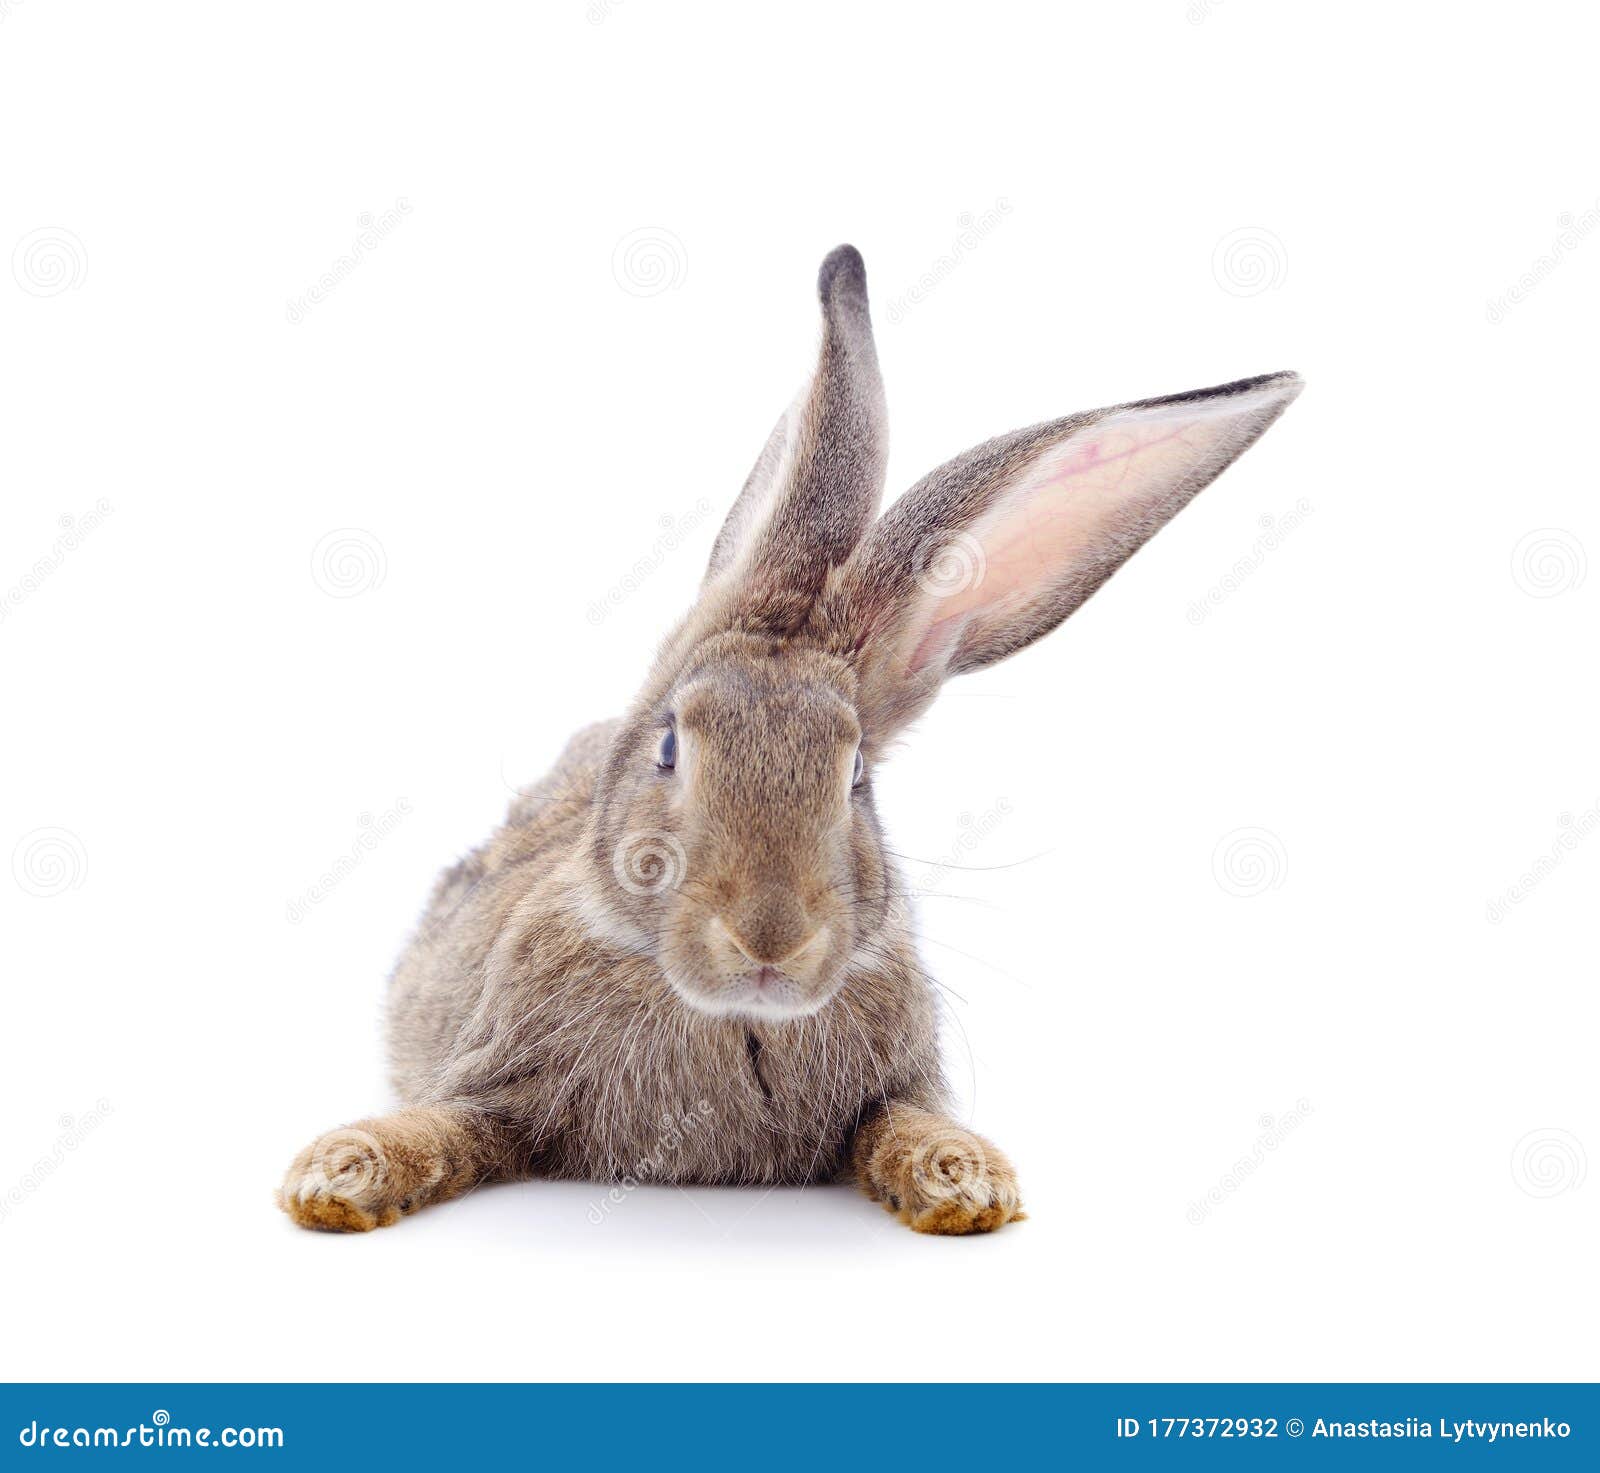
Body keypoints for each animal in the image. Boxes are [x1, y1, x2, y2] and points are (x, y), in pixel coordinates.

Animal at [278, 244, 1302, 1235]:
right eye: (670, 748)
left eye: (855, 777)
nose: (770, 935)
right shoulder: (489, 1076)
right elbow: (445, 1125)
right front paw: (338, 1174)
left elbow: (903, 1120)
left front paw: (964, 1178)